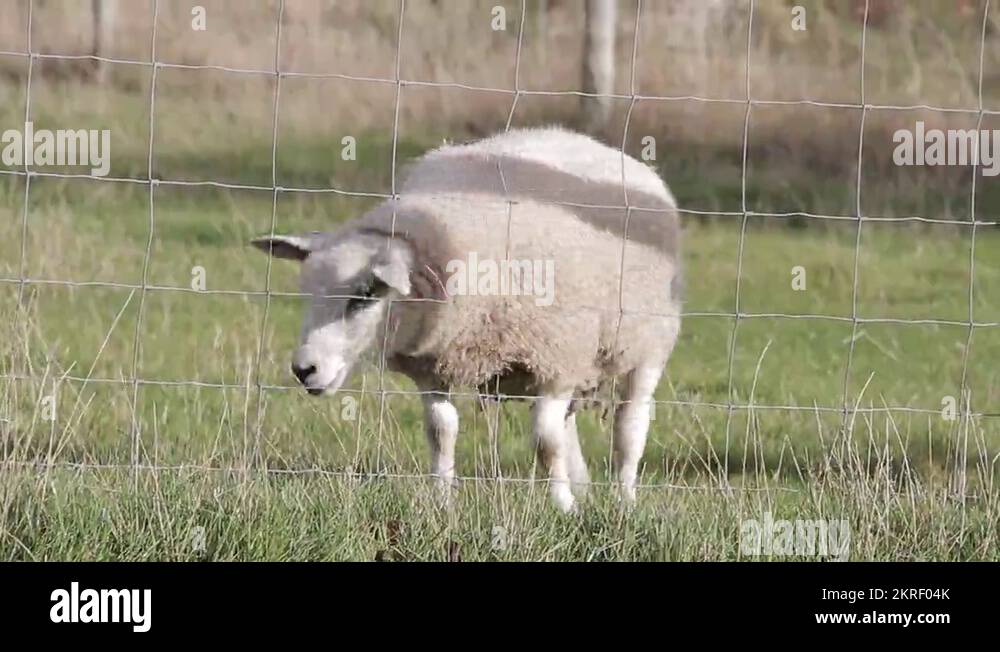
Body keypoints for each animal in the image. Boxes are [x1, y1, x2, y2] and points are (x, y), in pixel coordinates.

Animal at [252, 126, 681, 512]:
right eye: (308, 294)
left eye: (366, 295)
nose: (304, 369)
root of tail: (608, 149)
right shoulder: (433, 369)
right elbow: (441, 432)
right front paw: (442, 502)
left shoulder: (556, 356)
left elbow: (546, 442)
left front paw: (563, 508)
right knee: (571, 425)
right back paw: (585, 488)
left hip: (647, 347)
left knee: (629, 425)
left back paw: (624, 500)